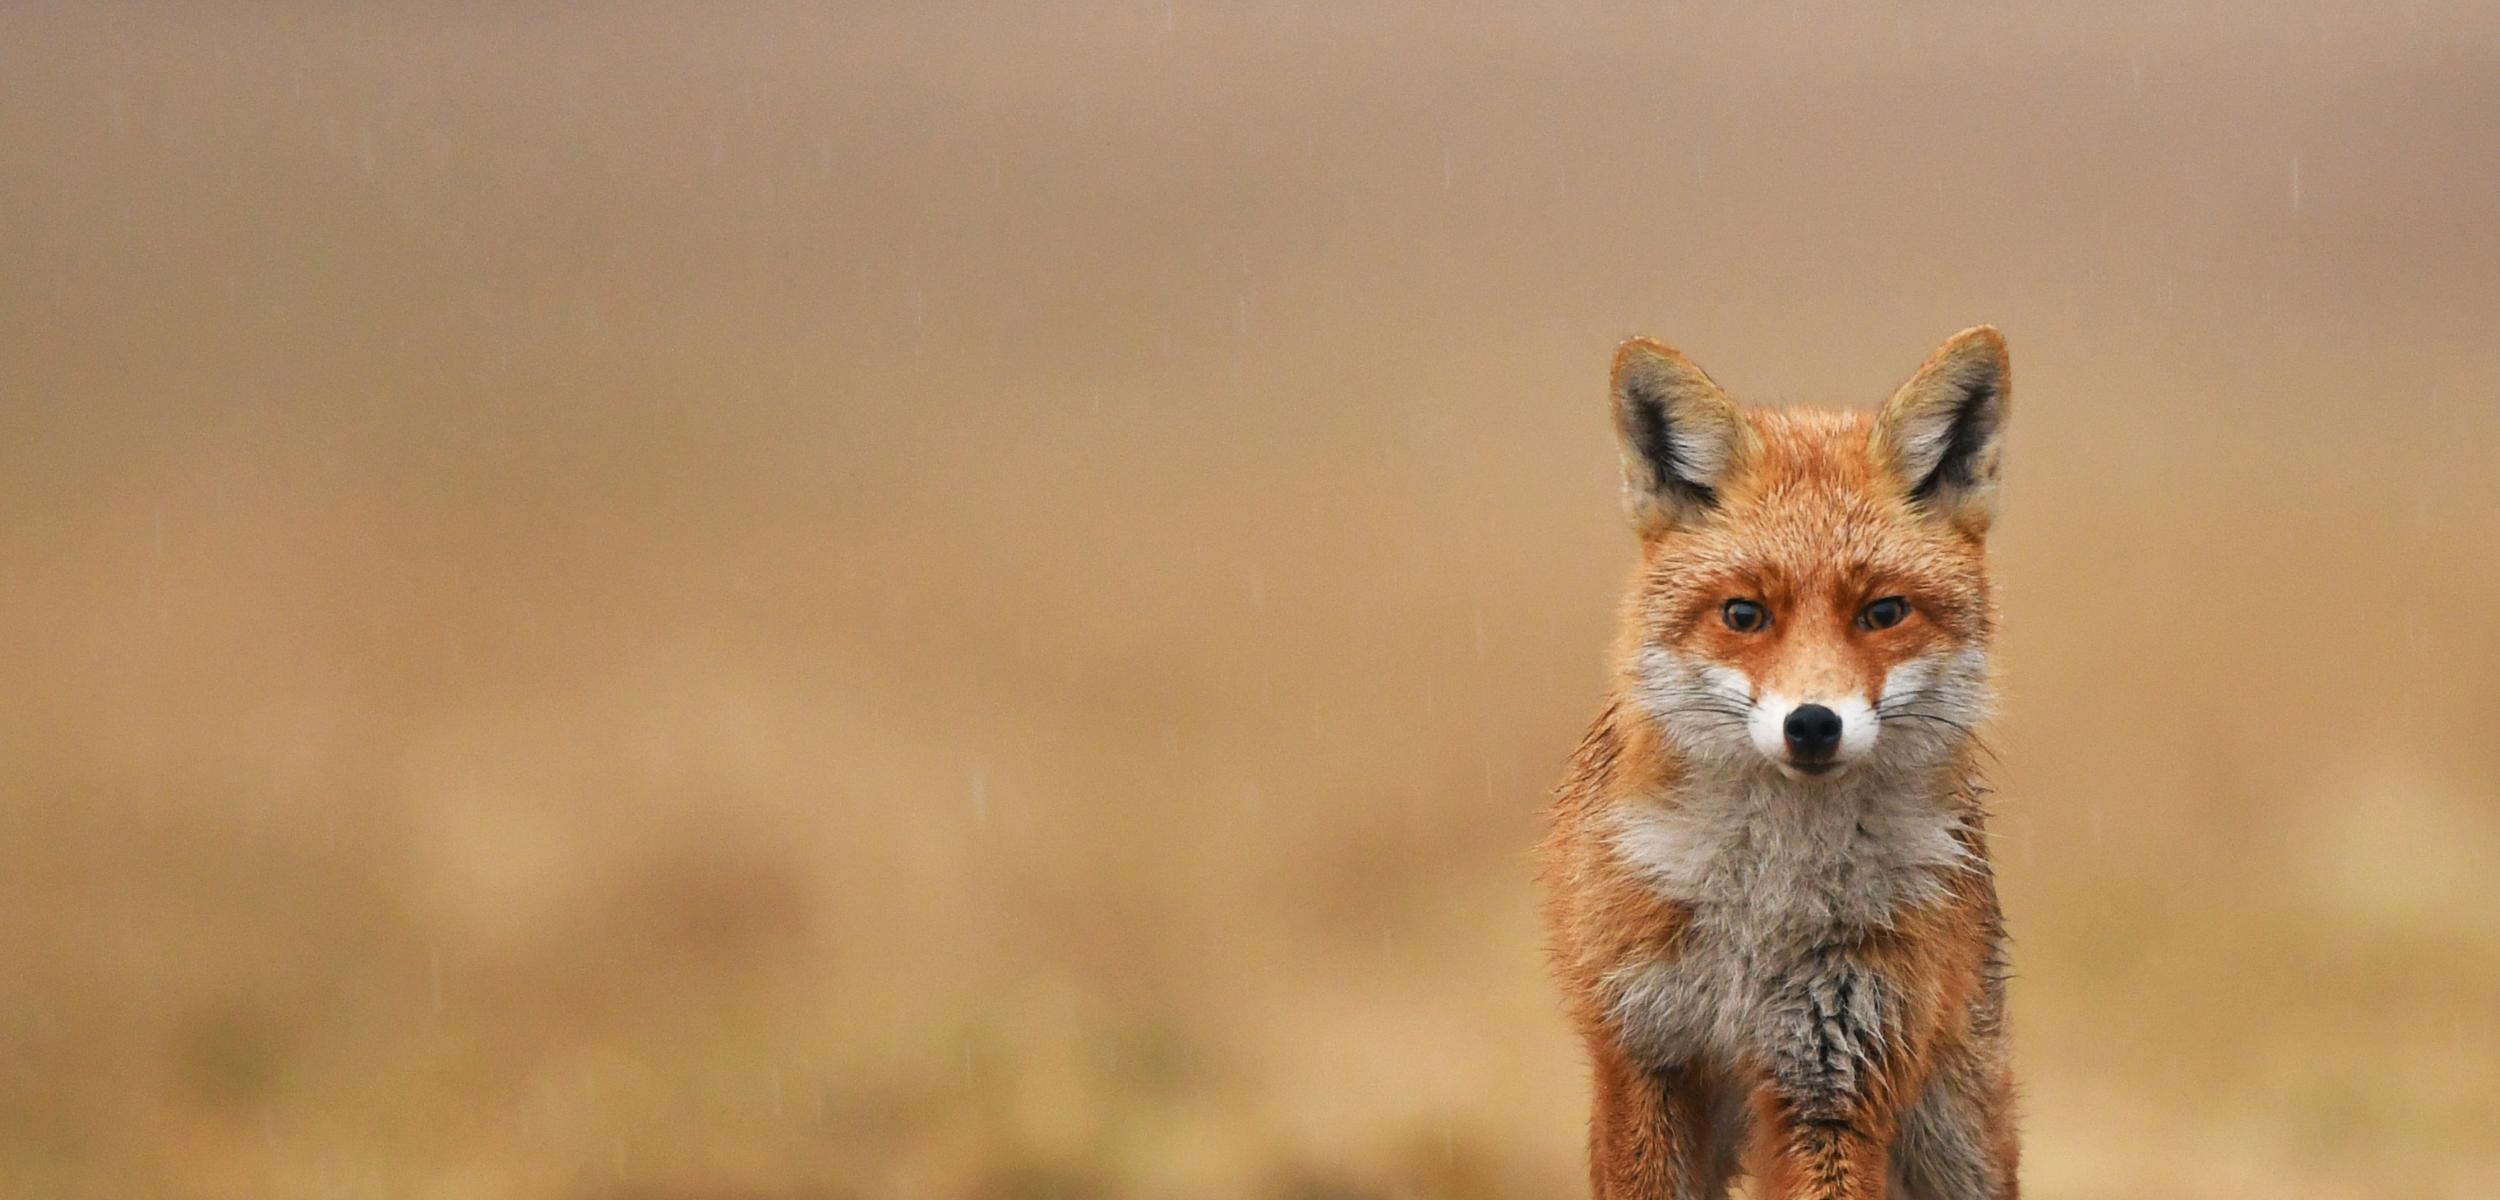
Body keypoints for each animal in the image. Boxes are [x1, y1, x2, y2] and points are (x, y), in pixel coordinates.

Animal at [1539, 327, 2019, 1200]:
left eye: (1883, 613)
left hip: (1960, 1145)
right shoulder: (1640, 1055)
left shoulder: (1832, 1079)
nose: (1813, 725)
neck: (1762, 903)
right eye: (1744, 614)